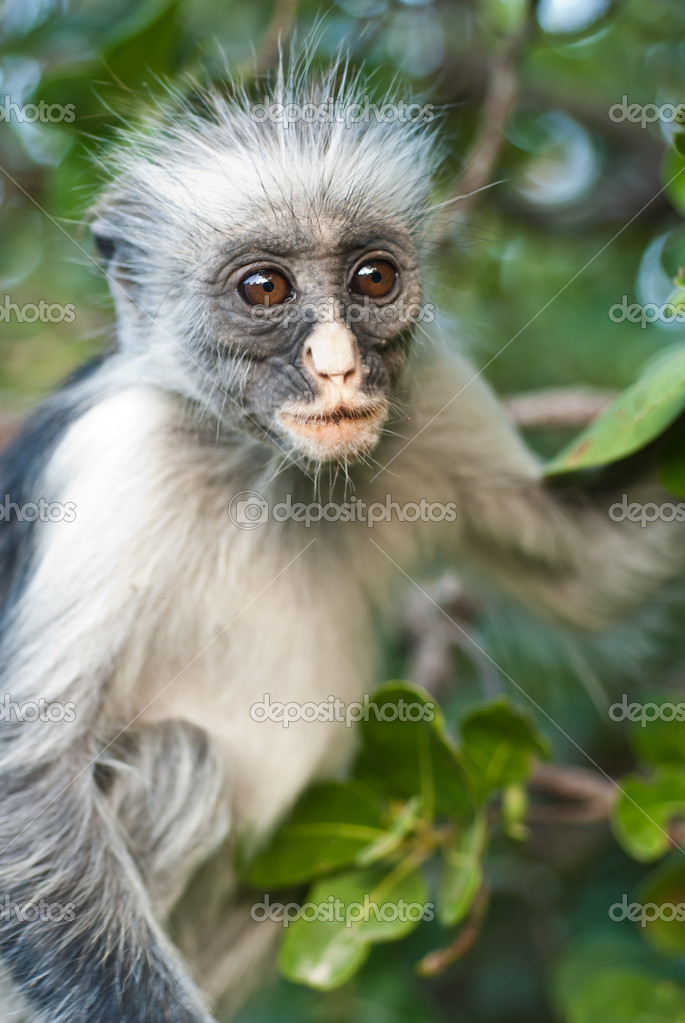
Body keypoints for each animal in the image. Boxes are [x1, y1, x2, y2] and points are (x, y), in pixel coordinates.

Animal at [0, 58, 681, 1023]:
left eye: (371, 277)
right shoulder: (116, 456)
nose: (337, 364)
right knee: (180, 759)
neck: (268, 466)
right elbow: (28, 784)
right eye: (263, 289)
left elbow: (589, 572)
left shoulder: (424, 388)